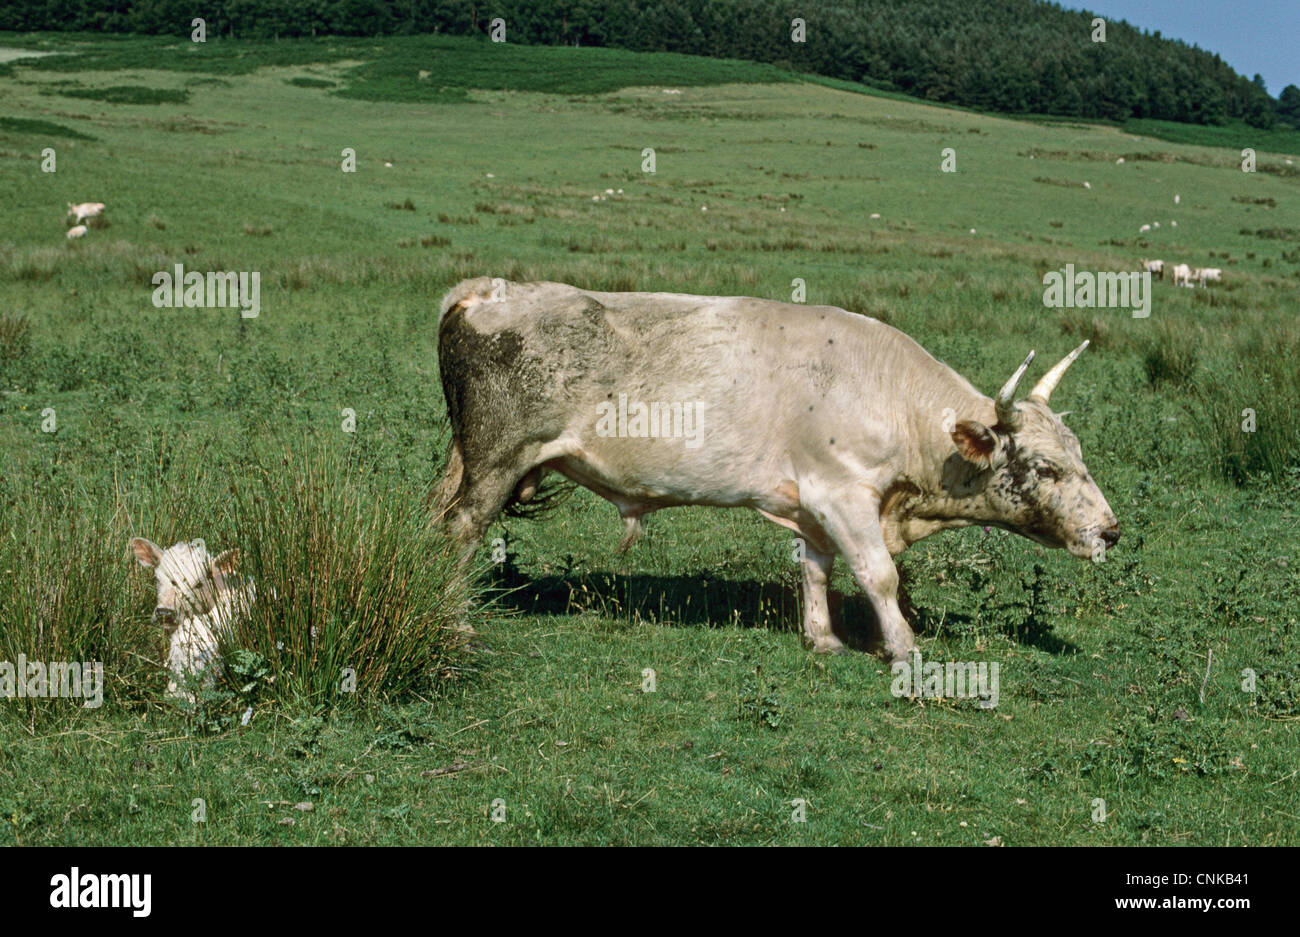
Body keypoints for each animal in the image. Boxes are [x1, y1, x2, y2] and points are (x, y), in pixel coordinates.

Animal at [431, 277, 1119, 662]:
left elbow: (816, 571)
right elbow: (879, 575)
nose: (1111, 531)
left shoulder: (813, 503)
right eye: (1045, 468)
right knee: (463, 529)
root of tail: (488, 289)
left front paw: (823, 639)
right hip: (497, 459)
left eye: (1079, 454)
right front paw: (903, 648)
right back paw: (456, 619)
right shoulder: (844, 494)